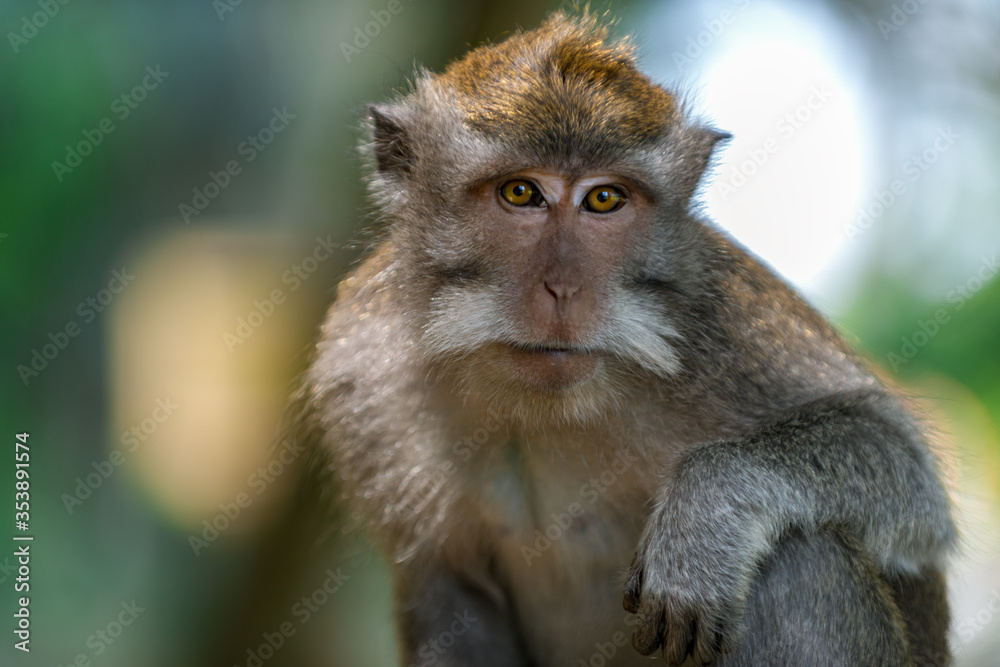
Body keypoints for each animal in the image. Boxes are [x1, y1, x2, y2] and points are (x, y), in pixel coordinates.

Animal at [295, 11, 956, 667]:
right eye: (520, 192)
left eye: (604, 198)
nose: (564, 289)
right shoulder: (361, 367)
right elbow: (448, 589)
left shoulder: (717, 323)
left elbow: (902, 466)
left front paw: (704, 517)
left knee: (802, 557)